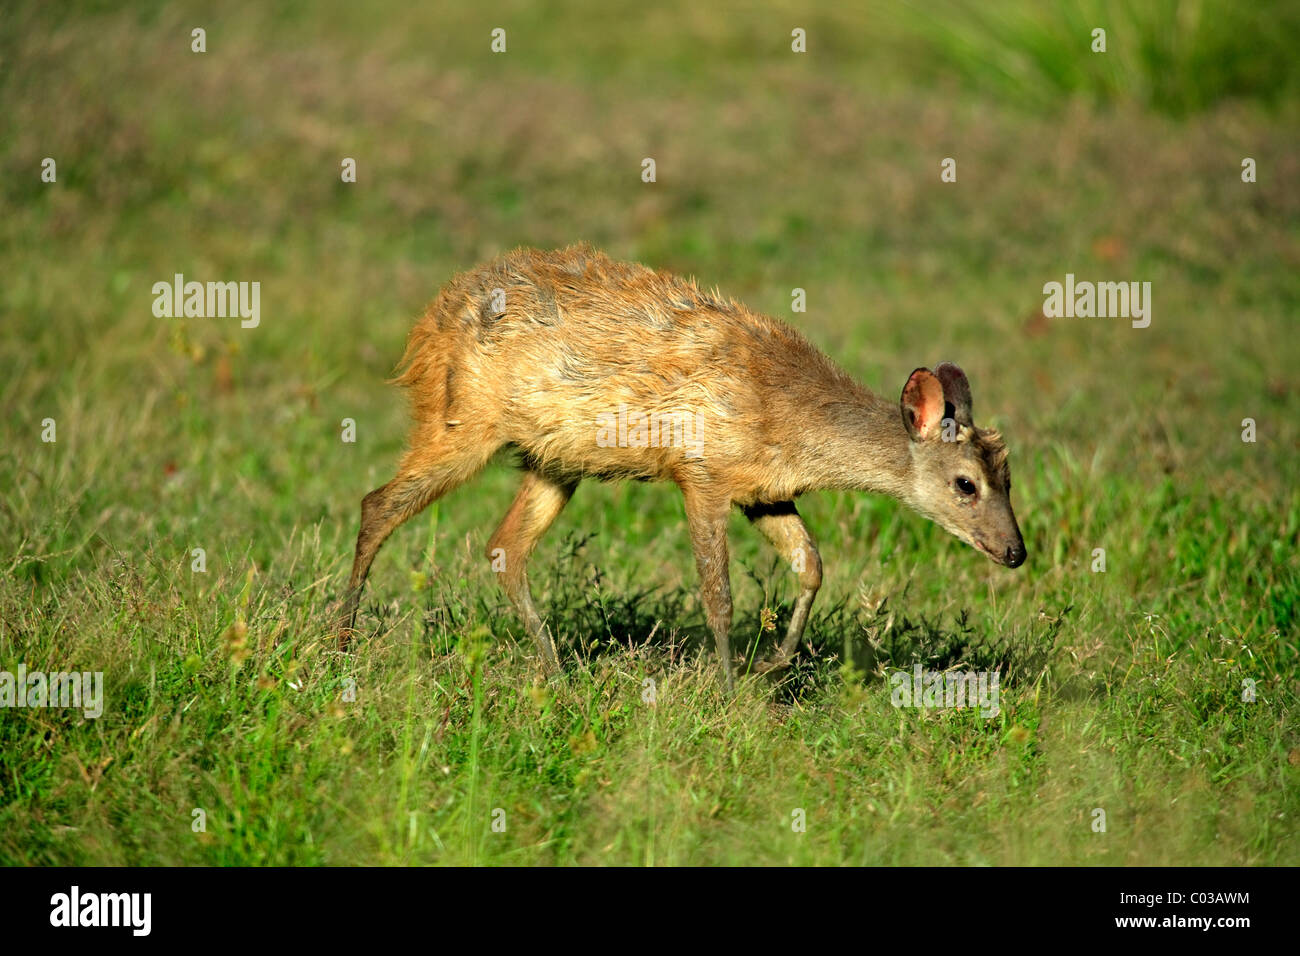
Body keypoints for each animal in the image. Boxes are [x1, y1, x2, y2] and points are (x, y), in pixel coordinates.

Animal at [337, 244, 1026, 691]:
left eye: (1010, 478)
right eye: (965, 484)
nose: (1016, 551)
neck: (786, 418)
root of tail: (429, 324)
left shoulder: (765, 491)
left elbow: (811, 565)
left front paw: (773, 667)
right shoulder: (702, 472)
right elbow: (717, 595)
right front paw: (726, 688)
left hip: (555, 459)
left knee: (505, 547)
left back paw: (557, 672)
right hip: (464, 420)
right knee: (379, 503)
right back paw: (341, 640)